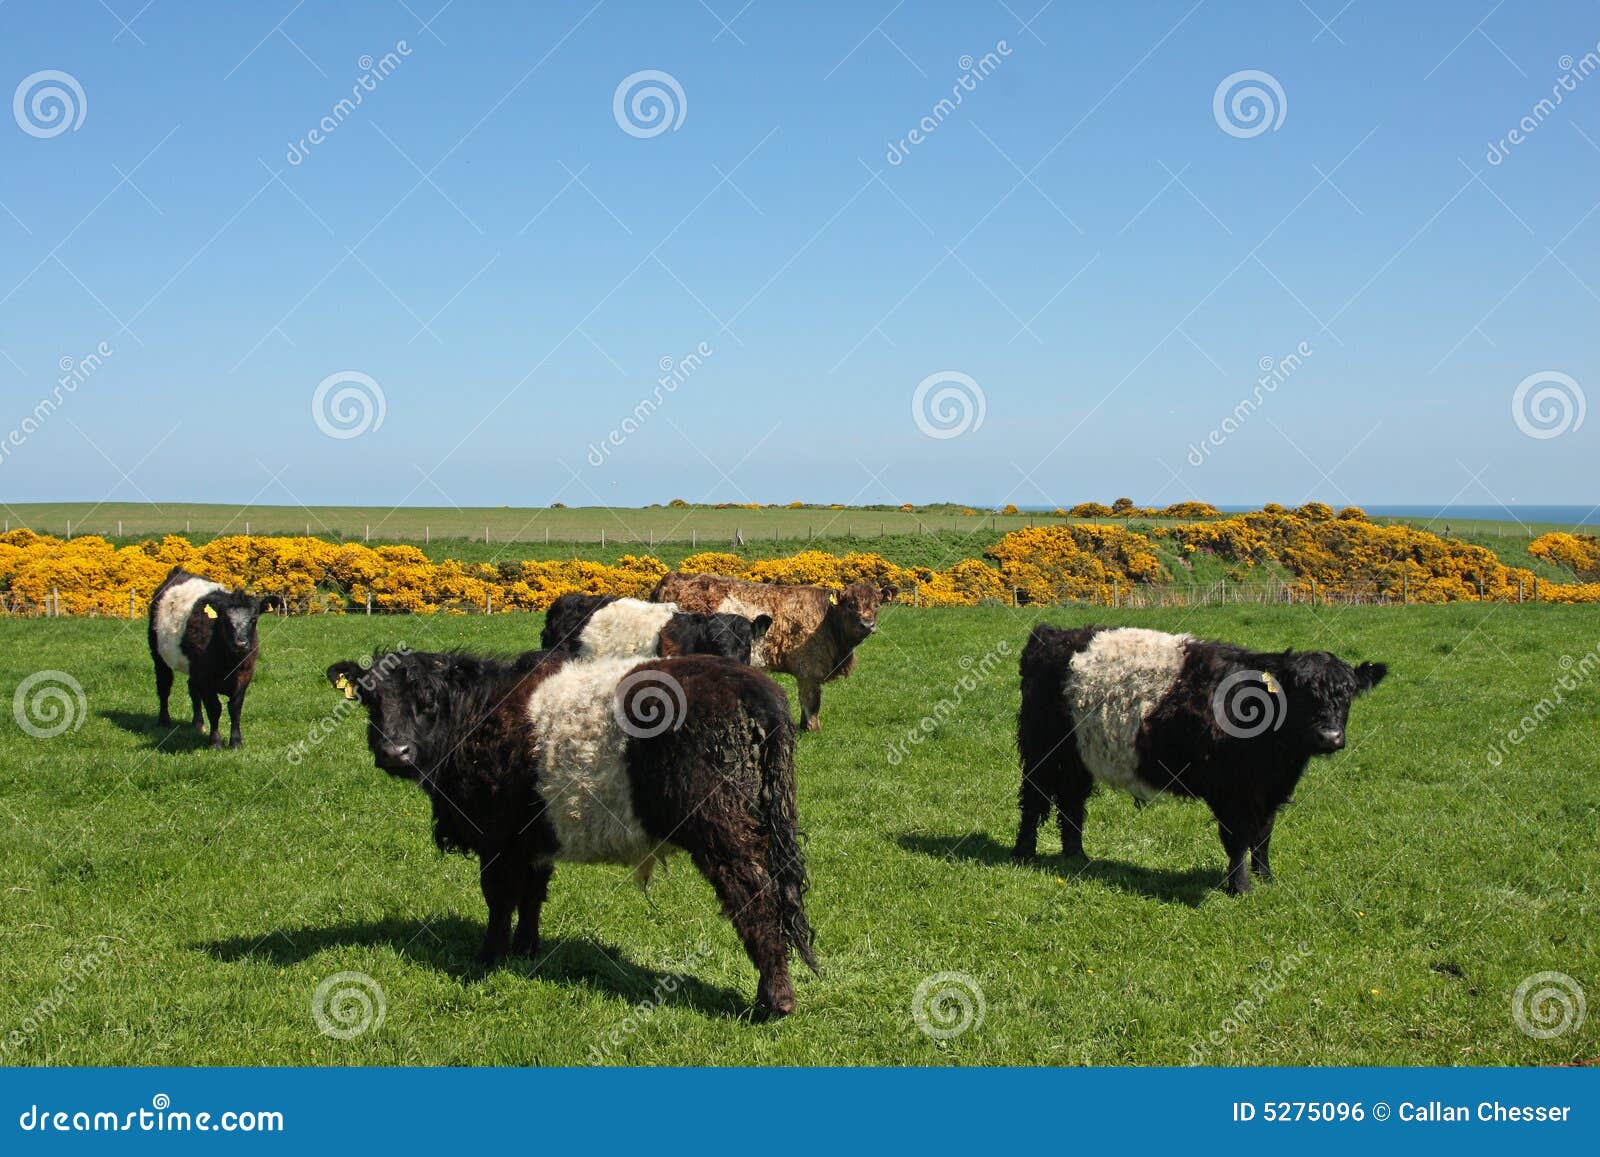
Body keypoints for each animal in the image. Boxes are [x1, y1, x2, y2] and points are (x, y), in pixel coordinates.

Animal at [148, 566, 282, 748]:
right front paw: (216, 742)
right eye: (224, 619)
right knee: (164, 686)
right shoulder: (205, 677)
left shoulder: (245, 674)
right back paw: (164, 721)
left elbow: (235, 708)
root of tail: (179, 571)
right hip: (158, 654)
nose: (241, 644)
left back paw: (198, 723)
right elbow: (214, 708)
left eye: (254, 619)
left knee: (192, 689)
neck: (230, 662)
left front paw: (236, 742)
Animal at [325, 647, 818, 1018]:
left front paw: (489, 957)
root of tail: (750, 684)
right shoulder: (534, 836)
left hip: (724, 831)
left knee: (756, 900)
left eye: (428, 700)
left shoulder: (496, 837)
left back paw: (774, 1002)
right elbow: (531, 894)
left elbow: (498, 897)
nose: (394, 751)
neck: (476, 716)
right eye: (369, 700)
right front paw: (526, 950)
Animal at [651, 573, 895, 731]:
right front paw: (813, 729)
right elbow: (812, 703)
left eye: (877, 605)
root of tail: (673, 576)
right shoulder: (809, 670)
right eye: (851, 605)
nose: (867, 624)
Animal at [1013, 625, 1387, 894]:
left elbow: (1263, 835)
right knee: (1033, 800)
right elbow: (1237, 839)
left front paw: (1265, 878)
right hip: (1042, 752)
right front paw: (1240, 888)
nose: (1329, 737)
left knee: (1071, 802)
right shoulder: (1232, 791)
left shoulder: (1268, 789)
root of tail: (1051, 634)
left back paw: (1076, 855)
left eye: (1347, 695)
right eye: (1303, 693)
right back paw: (1024, 853)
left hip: (1077, 758)